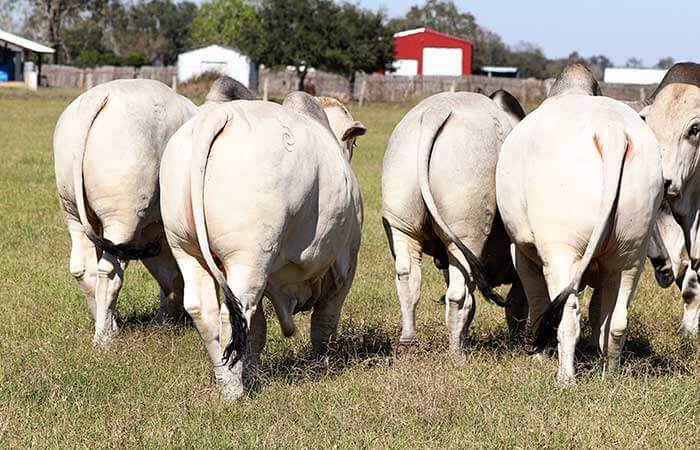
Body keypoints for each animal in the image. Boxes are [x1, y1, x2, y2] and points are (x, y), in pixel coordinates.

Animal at [53, 77, 253, 347]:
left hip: (73, 211)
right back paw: (103, 338)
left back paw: (109, 324)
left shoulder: (155, 235)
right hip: (122, 218)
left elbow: (170, 278)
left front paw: (162, 322)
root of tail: (101, 96)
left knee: (84, 269)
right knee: (108, 271)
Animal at [159, 92, 366, 399]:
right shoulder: (344, 267)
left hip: (185, 249)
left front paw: (253, 372)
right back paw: (234, 391)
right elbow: (325, 323)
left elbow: (257, 330)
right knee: (232, 315)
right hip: (248, 259)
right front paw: (323, 366)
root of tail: (219, 116)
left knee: (207, 312)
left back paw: (225, 377)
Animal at [381, 90, 529, 358]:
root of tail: (435, 111)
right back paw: (456, 355)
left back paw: (409, 342)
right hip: (466, 232)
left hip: (401, 223)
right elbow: (518, 305)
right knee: (459, 296)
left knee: (409, 280)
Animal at [496, 64, 664, 383]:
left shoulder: (520, 250)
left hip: (561, 249)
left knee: (567, 312)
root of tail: (611, 130)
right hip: (631, 253)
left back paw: (565, 378)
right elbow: (600, 313)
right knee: (618, 319)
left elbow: (537, 303)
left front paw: (539, 355)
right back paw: (610, 374)